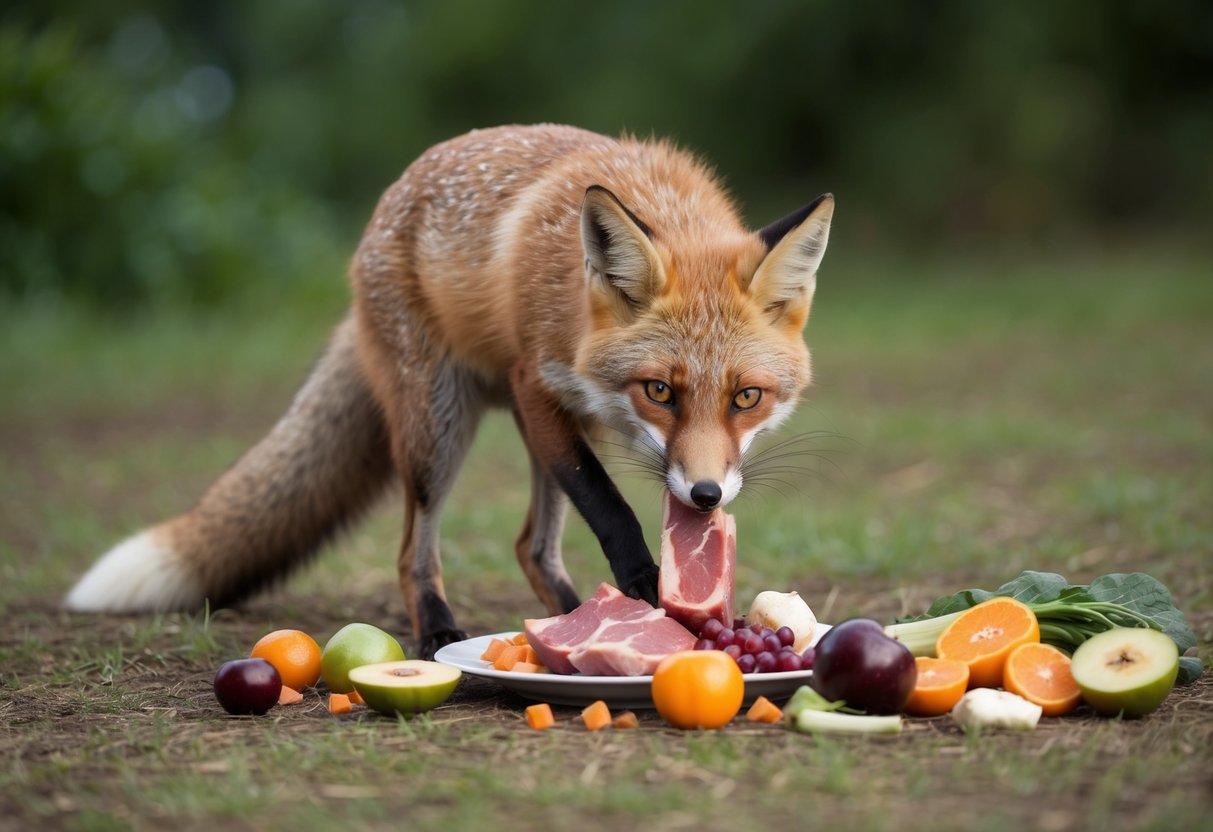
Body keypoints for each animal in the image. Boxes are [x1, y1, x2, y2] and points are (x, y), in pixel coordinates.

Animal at [65, 124, 834, 658]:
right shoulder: (536, 381)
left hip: (537, 426)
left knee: (531, 546)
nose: (704, 496)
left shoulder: (557, 406)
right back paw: (441, 630)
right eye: (660, 392)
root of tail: (383, 209)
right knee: (415, 550)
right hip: (438, 430)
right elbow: (610, 507)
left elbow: (583, 513)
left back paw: (566, 617)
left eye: (746, 398)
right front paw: (645, 588)